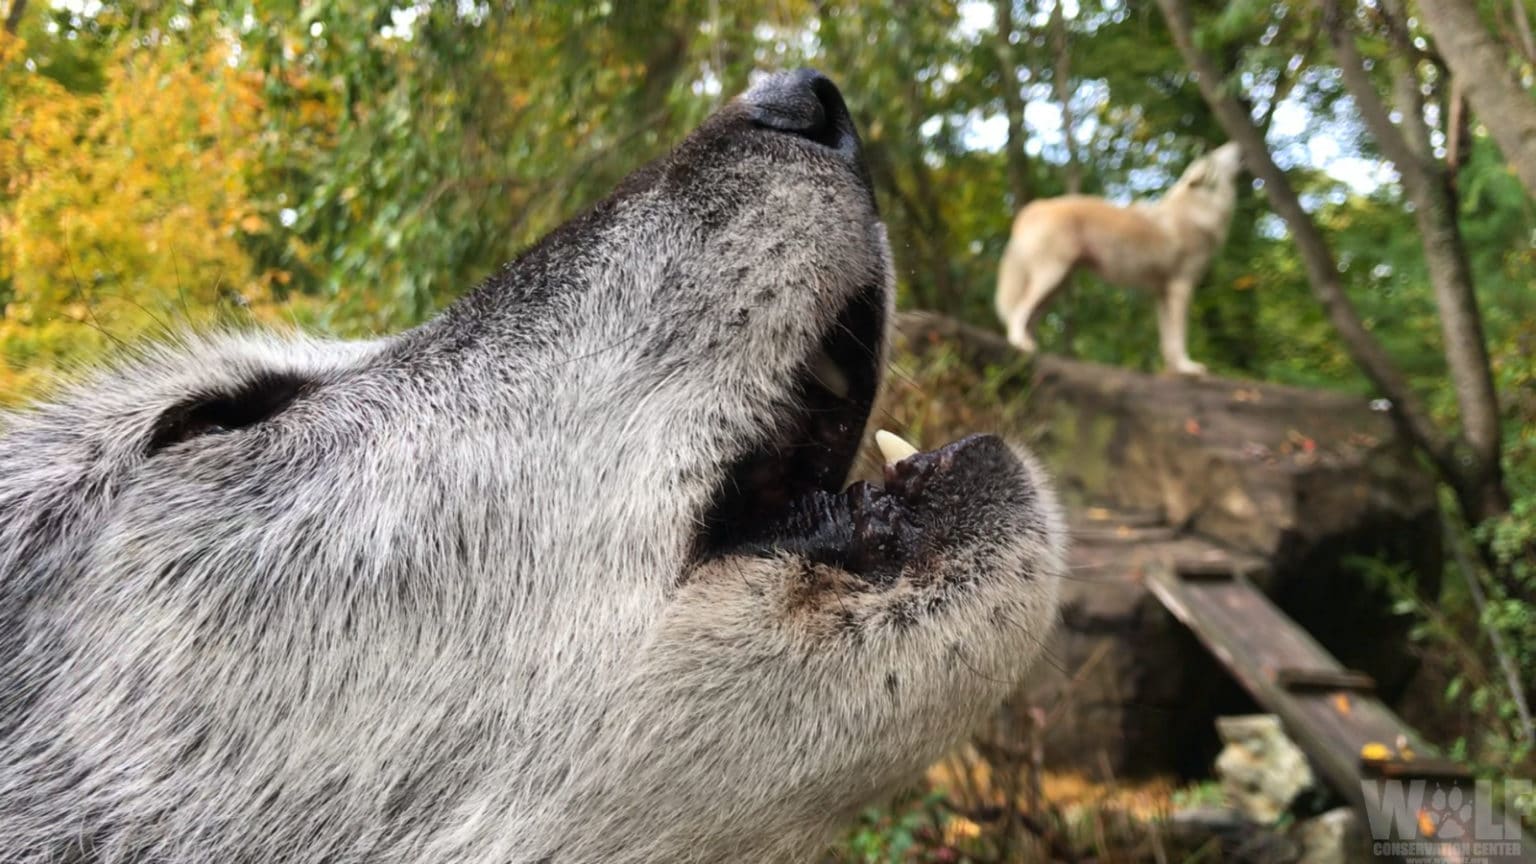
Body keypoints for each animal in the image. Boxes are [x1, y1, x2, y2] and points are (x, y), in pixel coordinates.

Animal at [995, 142, 1243, 376]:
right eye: (1215, 155)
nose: (1237, 144)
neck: (1199, 210)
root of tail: (1032, 209)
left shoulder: (1162, 293)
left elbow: (1167, 341)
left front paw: (1174, 368)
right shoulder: (1180, 288)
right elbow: (1178, 337)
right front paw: (1187, 367)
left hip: (1057, 286)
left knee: (1029, 316)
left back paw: (1032, 348)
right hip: (1051, 278)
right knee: (1018, 312)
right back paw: (1021, 345)